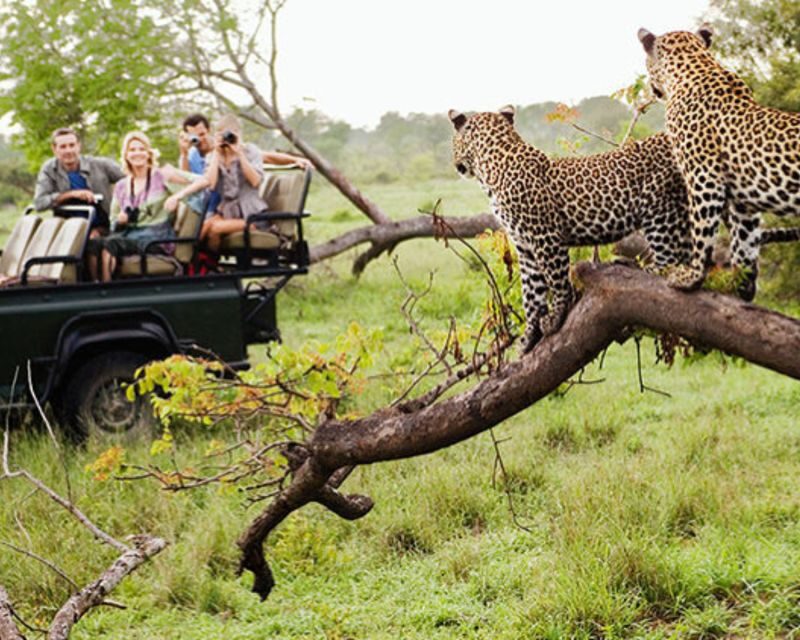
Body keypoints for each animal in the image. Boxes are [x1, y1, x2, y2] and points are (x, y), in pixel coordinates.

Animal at [449, 106, 691, 352]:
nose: (456, 164)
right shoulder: (524, 247)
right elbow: (531, 293)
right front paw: (529, 336)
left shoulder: (545, 236)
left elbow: (557, 281)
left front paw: (555, 317)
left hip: (659, 207)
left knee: (670, 259)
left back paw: (638, 266)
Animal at [638, 26, 800, 300]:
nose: (653, 90)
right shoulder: (744, 202)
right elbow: (745, 244)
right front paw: (741, 287)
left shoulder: (704, 178)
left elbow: (701, 235)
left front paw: (690, 278)